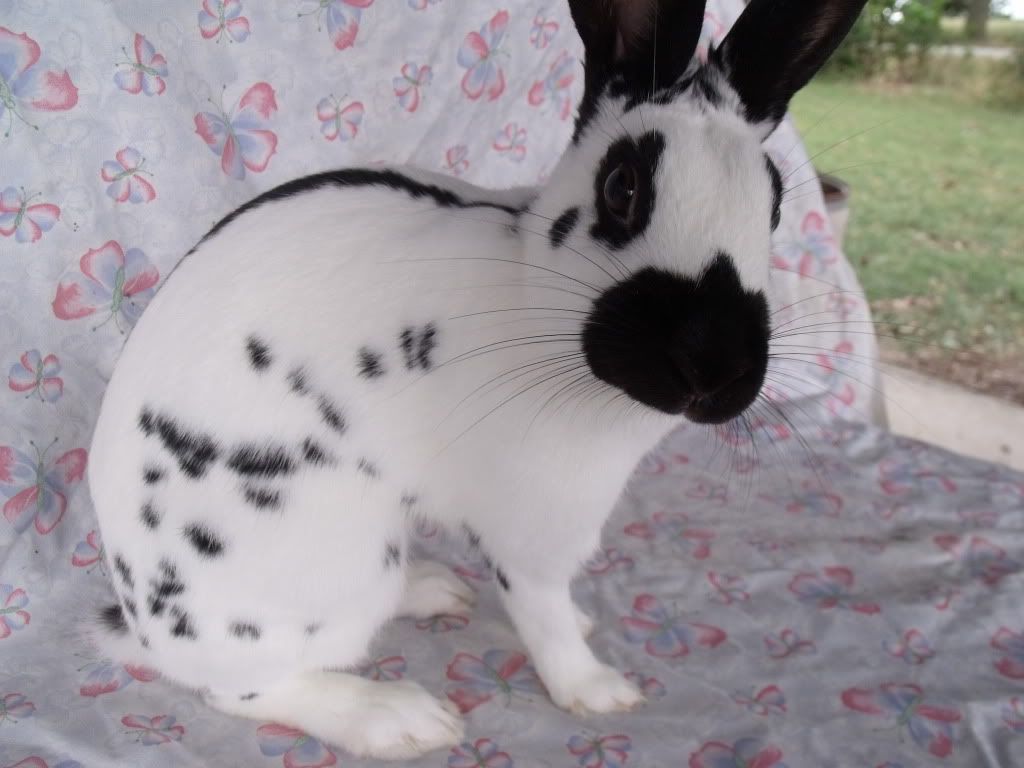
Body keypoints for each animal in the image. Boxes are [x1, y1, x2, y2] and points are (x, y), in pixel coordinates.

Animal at [87, 0, 867, 759]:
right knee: (245, 689)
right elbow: (543, 616)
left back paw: (435, 591)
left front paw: (586, 631)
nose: (713, 368)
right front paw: (598, 690)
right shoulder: (534, 531)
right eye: (622, 187)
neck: (530, 293)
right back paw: (401, 720)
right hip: (328, 566)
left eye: (773, 204)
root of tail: (143, 625)